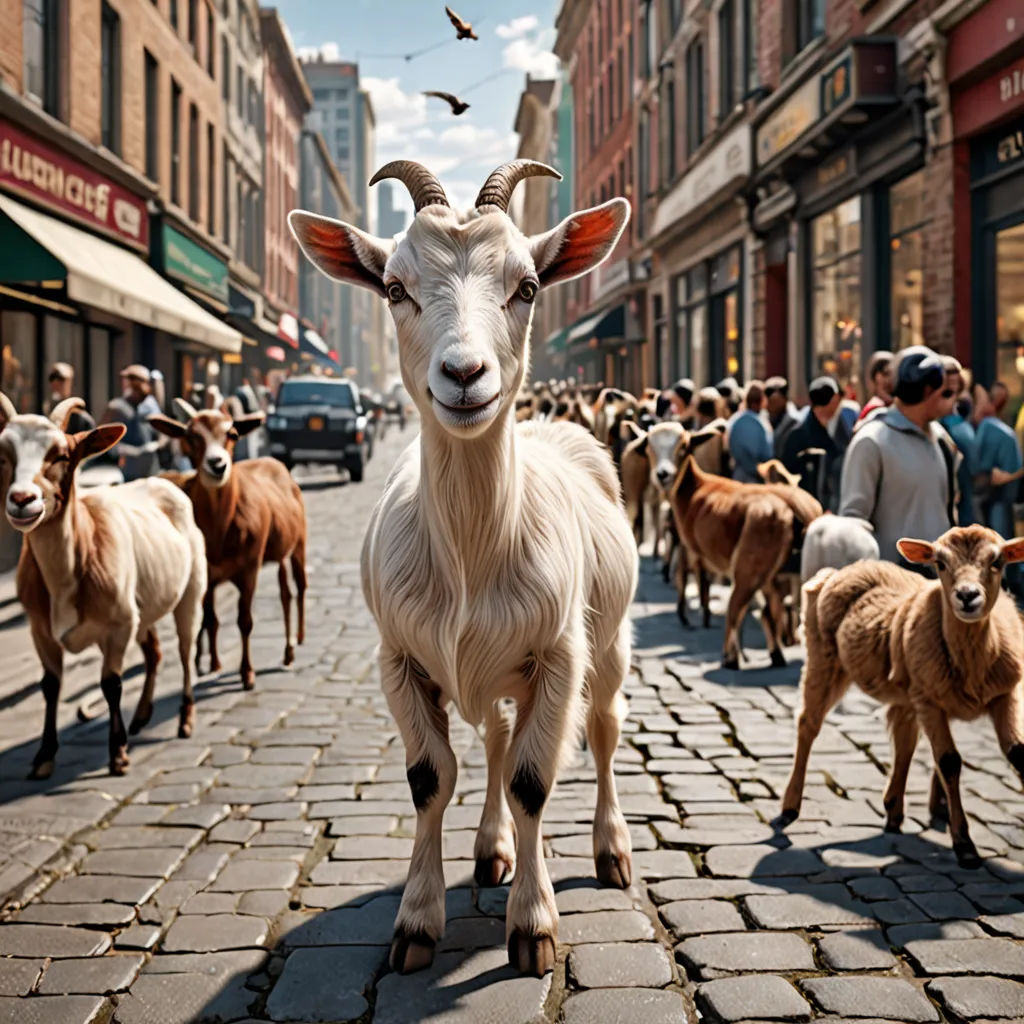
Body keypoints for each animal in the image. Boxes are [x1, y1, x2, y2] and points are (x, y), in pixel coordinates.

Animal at [0, 394, 205, 777]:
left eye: (62, 455)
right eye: (3, 454)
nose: (22, 500)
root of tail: (164, 482)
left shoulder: (118, 626)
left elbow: (111, 683)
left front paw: (118, 753)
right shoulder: (41, 630)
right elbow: (50, 686)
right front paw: (44, 756)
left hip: (189, 594)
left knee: (185, 651)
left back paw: (185, 719)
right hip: (143, 608)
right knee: (154, 652)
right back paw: (141, 716)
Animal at [149, 402, 307, 689]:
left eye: (232, 434)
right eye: (192, 436)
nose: (217, 464)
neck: (220, 530)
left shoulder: (250, 567)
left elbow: (245, 620)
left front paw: (247, 673)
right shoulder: (208, 575)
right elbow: (211, 619)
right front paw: (214, 664)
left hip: (299, 542)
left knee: (300, 587)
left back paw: (296, 642)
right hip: (279, 553)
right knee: (285, 595)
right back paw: (287, 652)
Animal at [291, 159, 636, 978]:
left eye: (529, 285)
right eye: (394, 287)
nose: (465, 373)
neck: (474, 554)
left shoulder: (560, 656)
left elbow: (535, 782)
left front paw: (533, 929)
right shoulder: (399, 658)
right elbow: (431, 779)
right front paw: (417, 923)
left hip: (607, 644)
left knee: (604, 728)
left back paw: (611, 850)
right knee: (496, 738)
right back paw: (490, 849)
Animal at [779, 525, 1024, 869]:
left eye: (998, 561)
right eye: (940, 563)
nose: (967, 596)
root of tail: (842, 570)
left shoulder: (1006, 694)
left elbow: (1018, 754)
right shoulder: (929, 701)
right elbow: (949, 761)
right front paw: (964, 844)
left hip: (908, 693)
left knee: (904, 738)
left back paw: (894, 810)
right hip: (823, 658)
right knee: (808, 724)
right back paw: (789, 806)